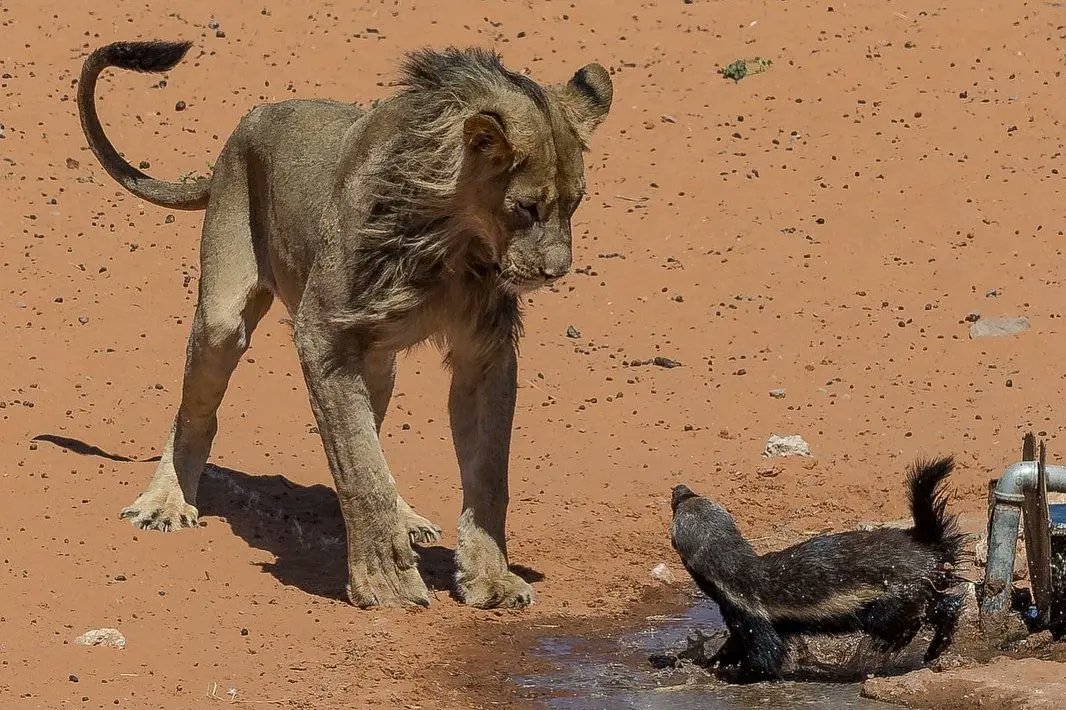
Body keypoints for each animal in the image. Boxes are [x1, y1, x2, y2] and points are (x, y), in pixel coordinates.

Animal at [76, 40, 612, 609]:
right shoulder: (322, 332)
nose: (557, 271)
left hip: (378, 364)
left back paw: (407, 519)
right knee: (197, 410)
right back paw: (165, 502)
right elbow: (359, 467)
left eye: (575, 203)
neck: (448, 243)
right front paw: (386, 583)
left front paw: (490, 579)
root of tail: (242, 131)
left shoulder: (485, 352)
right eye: (526, 208)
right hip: (223, 316)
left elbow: (487, 475)